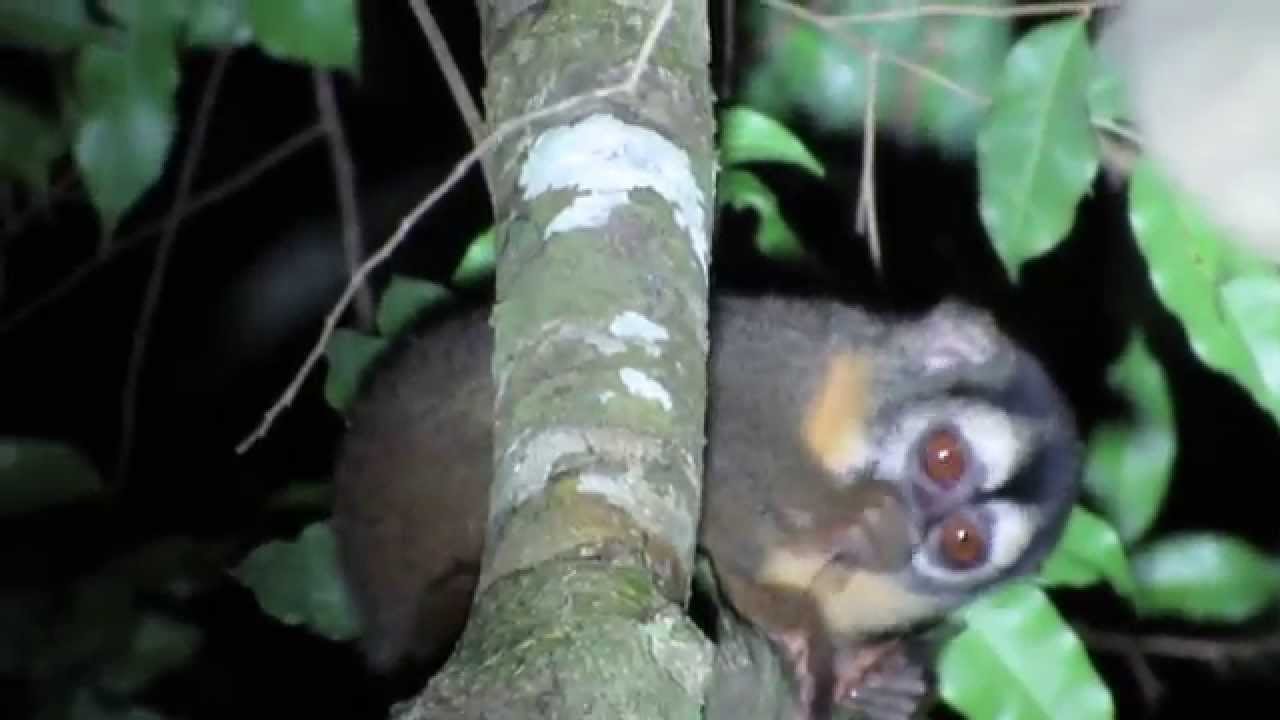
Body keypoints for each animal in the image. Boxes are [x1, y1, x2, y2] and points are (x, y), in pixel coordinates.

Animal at [331, 295, 1080, 719]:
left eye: (962, 544)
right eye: (944, 458)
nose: (920, 522)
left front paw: (879, 685)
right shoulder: (803, 357)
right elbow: (720, 417)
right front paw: (851, 519)